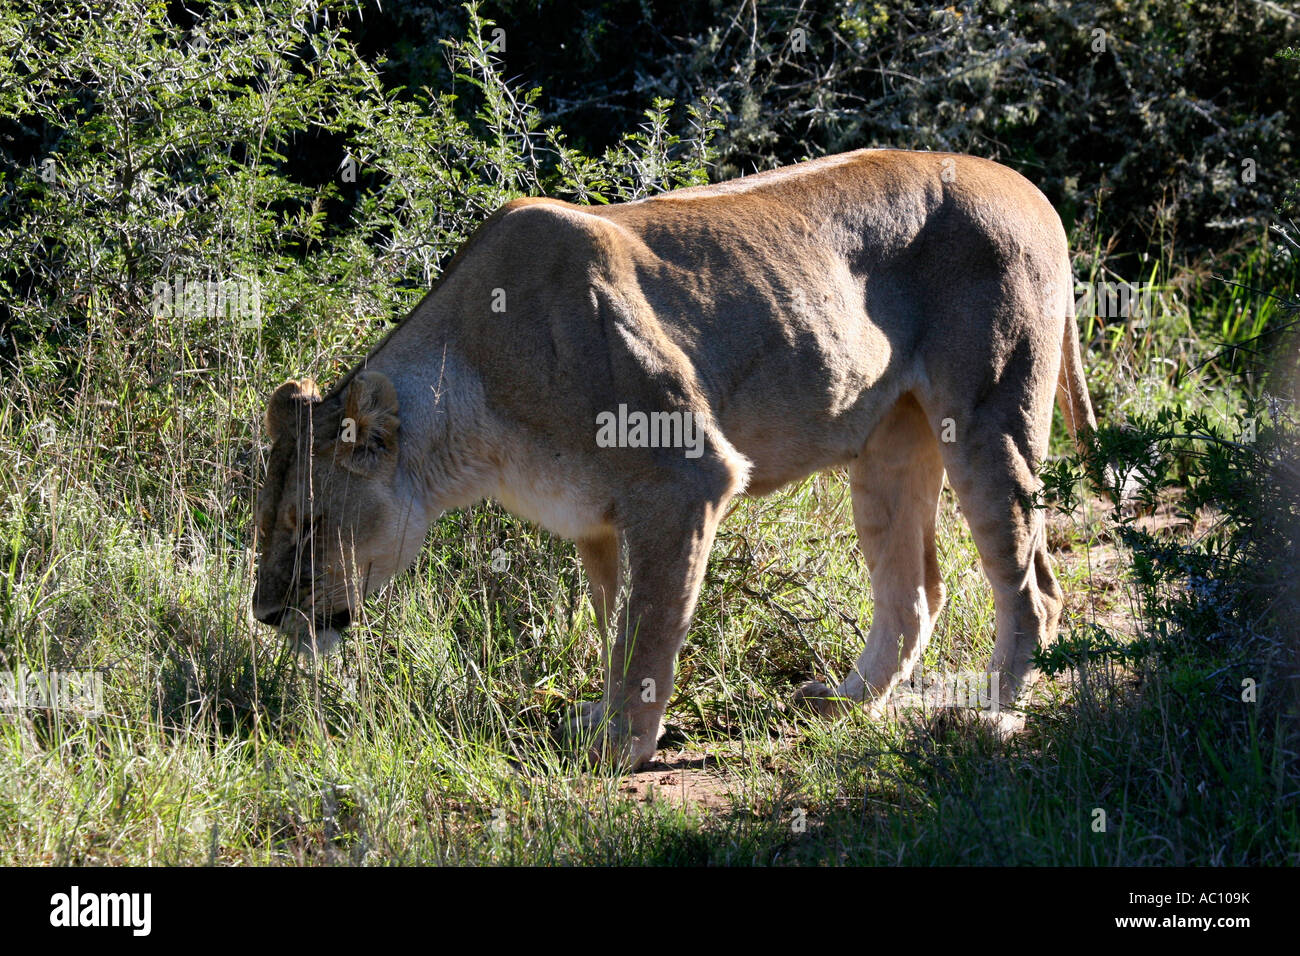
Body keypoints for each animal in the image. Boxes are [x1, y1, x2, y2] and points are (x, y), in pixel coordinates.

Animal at [252, 148, 1098, 769]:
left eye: (307, 522)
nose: (264, 615)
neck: (474, 382)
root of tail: (1027, 187)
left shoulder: (687, 478)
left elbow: (649, 628)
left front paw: (619, 749)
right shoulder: (597, 520)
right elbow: (614, 623)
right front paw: (600, 717)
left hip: (991, 419)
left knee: (1034, 590)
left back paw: (993, 719)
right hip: (891, 441)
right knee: (915, 590)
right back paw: (844, 702)